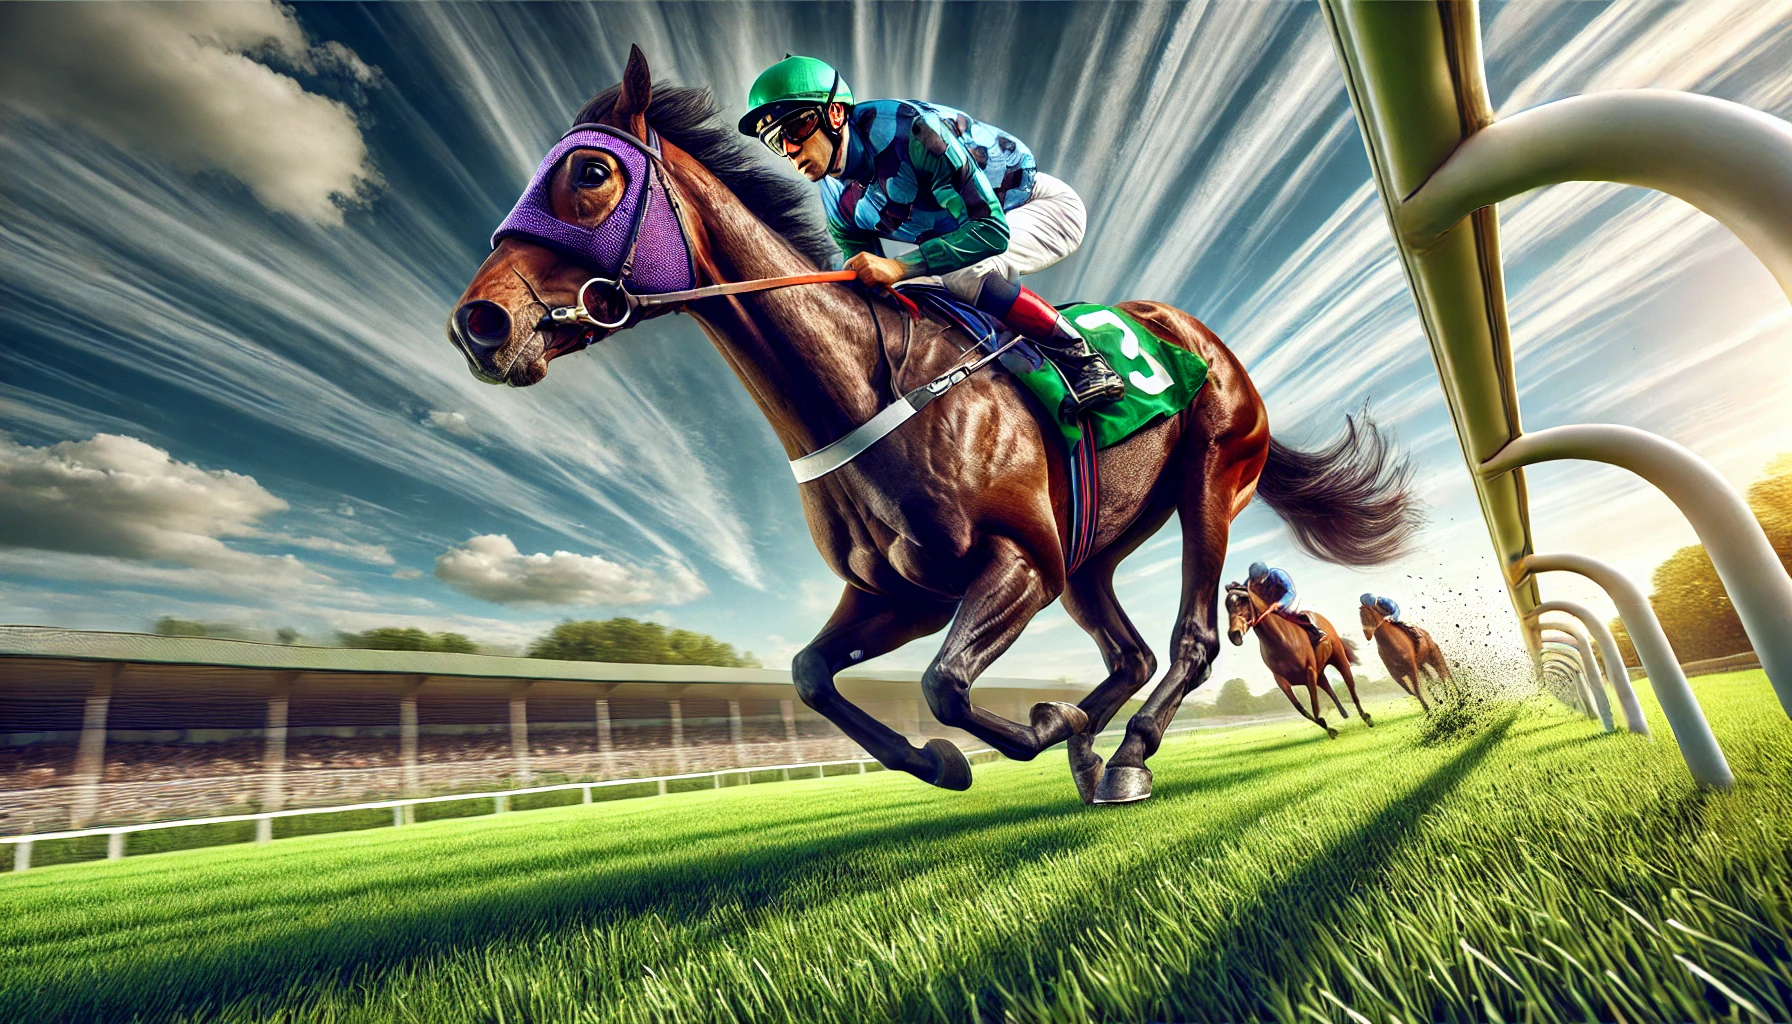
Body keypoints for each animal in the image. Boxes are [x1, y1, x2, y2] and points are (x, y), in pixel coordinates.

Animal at [1223, 583, 1369, 737]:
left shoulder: (1309, 672)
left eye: (1243, 601)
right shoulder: (1282, 681)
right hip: (1320, 673)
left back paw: (1366, 717)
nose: (1234, 635)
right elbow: (1301, 710)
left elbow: (1315, 707)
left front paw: (1330, 729)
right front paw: (1328, 727)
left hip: (1338, 658)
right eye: (1227, 606)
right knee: (1328, 688)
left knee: (1350, 685)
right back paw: (1344, 713)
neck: (1280, 641)